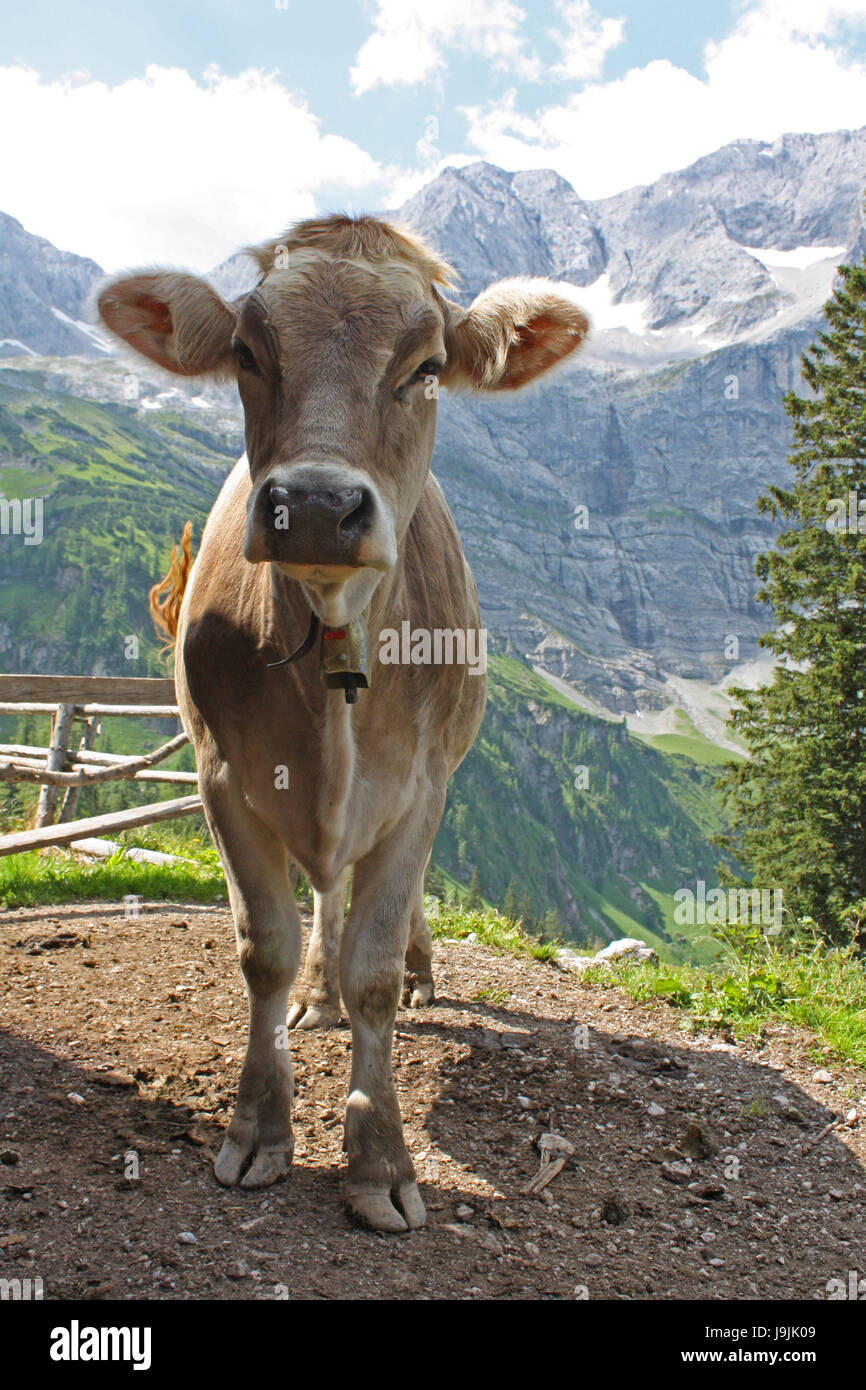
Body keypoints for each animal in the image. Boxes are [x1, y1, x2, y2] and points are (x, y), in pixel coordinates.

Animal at [97, 215, 588, 1232]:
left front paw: (379, 1159)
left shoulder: (421, 790)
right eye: (248, 353)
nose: (317, 507)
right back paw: (316, 1002)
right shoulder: (222, 777)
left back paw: (419, 969)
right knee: (323, 902)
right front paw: (259, 1128)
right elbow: (267, 950)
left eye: (427, 366)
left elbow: (373, 971)